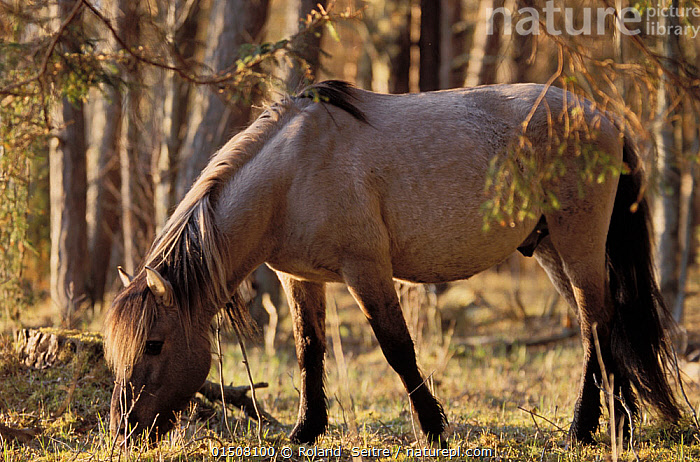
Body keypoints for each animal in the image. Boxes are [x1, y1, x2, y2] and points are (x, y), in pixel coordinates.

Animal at [104, 80, 681, 445]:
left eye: (154, 344)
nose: (123, 429)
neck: (290, 173)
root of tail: (605, 118)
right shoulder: (299, 279)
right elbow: (309, 351)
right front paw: (306, 431)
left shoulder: (366, 270)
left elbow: (397, 349)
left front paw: (434, 428)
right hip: (551, 251)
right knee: (603, 328)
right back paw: (619, 425)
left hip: (576, 244)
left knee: (595, 330)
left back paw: (584, 430)